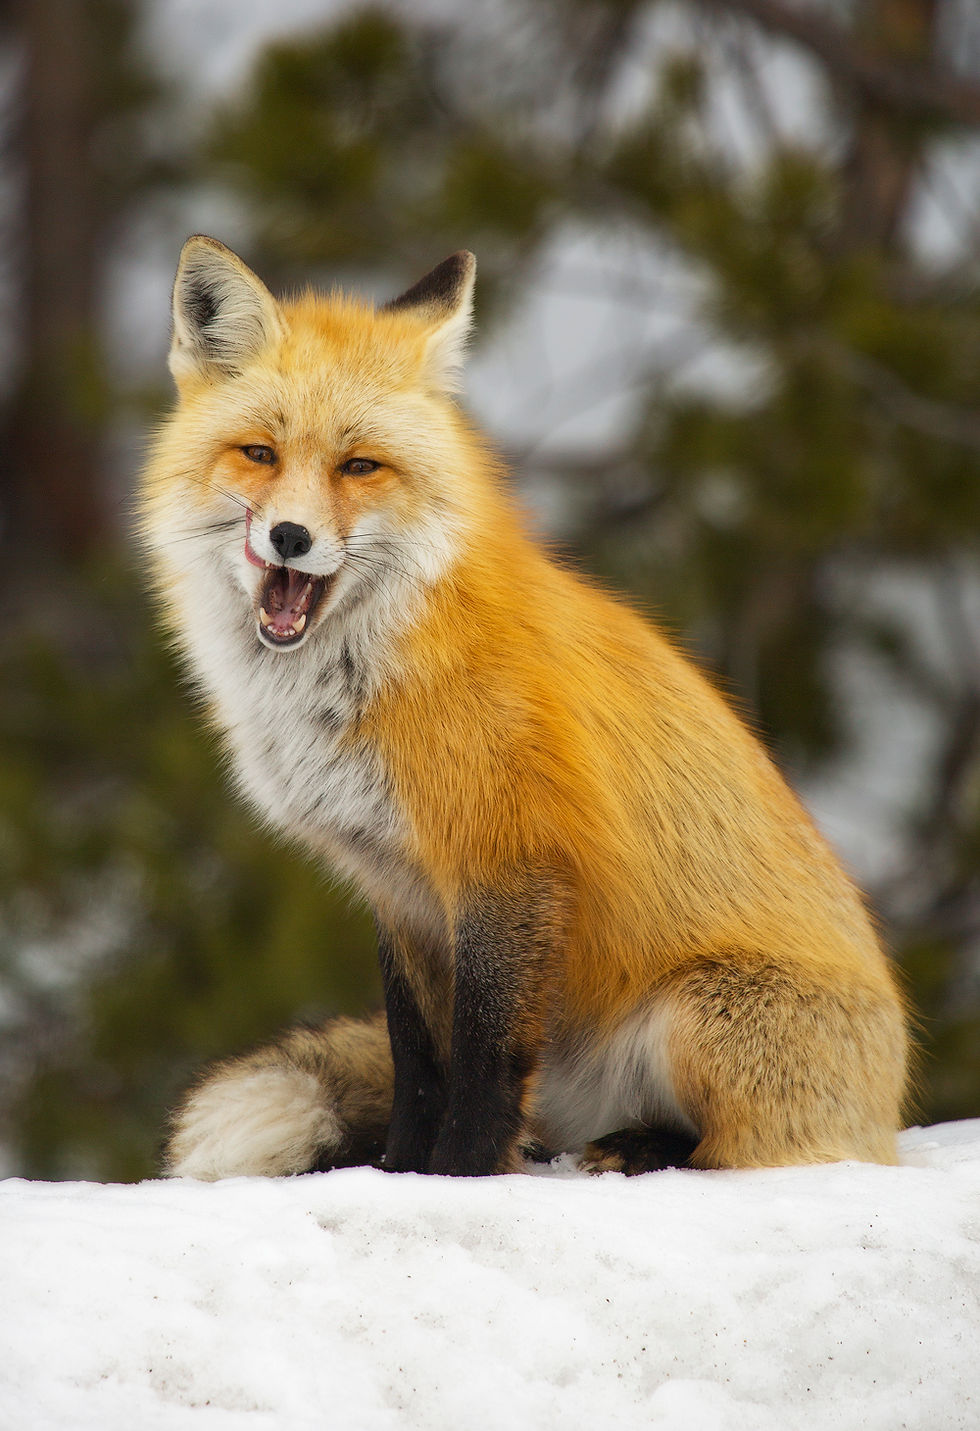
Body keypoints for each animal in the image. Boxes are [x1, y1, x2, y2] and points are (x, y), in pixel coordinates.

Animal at [140, 235, 909, 1180]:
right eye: (259, 453)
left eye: (360, 465)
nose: (290, 536)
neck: (366, 680)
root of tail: (891, 1104)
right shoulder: (399, 887)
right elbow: (419, 1062)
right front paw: (399, 1170)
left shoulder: (510, 861)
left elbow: (485, 1061)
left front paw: (460, 1176)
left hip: (697, 1017)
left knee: (742, 1153)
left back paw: (647, 1146)